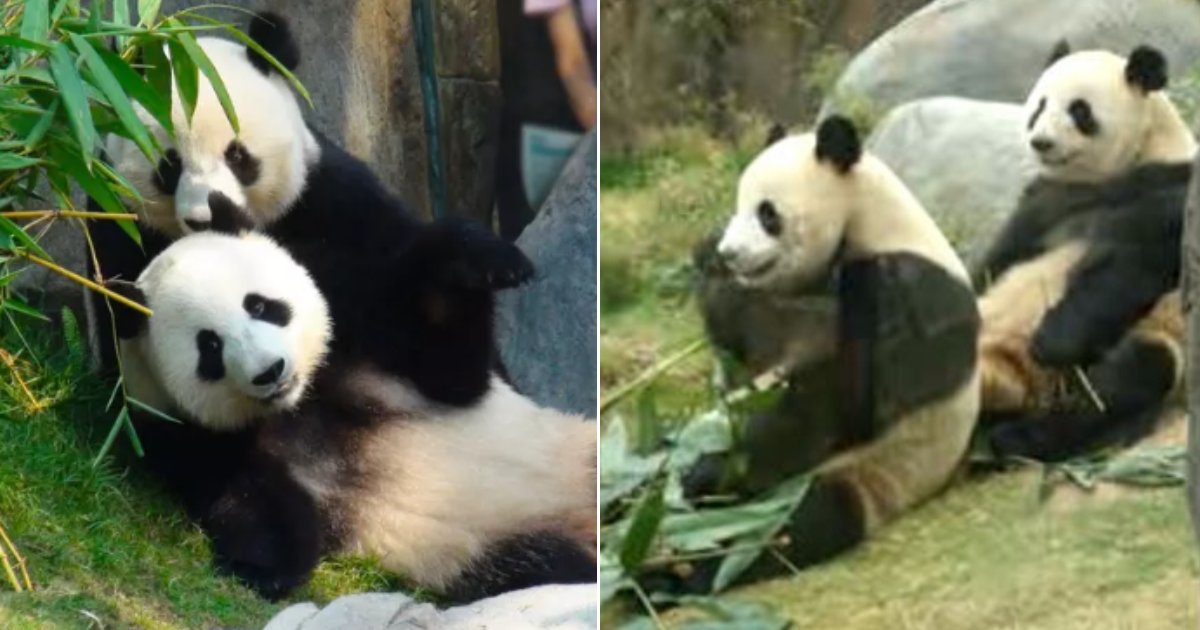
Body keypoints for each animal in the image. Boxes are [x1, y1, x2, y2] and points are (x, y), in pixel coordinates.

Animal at [84, 11, 525, 410]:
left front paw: (477, 263)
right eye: (169, 166)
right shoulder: (116, 229)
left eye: (238, 156)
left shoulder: (336, 202)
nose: (202, 218)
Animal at [102, 230, 597, 602]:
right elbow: (250, 495)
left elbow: (452, 366)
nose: (271, 370)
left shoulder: (357, 324)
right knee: (556, 563)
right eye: (210, 346)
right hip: (515, 546)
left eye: (259, 305)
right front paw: (260, 569)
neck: (299, 402)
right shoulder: (185, 434)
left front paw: (485, 262)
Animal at [679, 116, 980, 590]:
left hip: (865, 475)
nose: (730, 254)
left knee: (796, 524)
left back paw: (682, 566)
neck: (869, 223)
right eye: (737, 205)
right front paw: (708, 259)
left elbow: (836, 406)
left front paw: (709, 472)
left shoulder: (905, 292)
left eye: (767, 214)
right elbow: (748, 350)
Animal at [974, 43, 1197, 462]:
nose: (1040, 142)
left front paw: (1051, 340)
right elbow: (997, 258)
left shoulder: (1169, 184)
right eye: (1040, 105)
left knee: (1126, 381)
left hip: (1149, 341)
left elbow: (1135, 260)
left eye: (1080, 111)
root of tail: (1008, 371)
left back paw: (1015, 437)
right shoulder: (1045, 202)